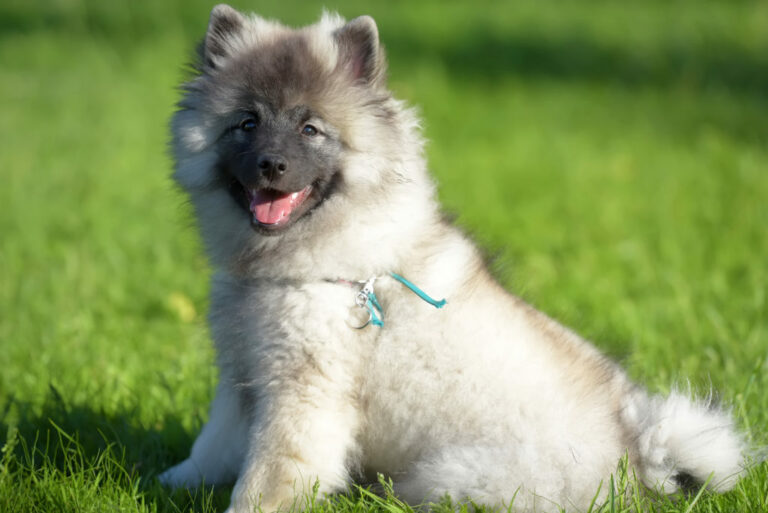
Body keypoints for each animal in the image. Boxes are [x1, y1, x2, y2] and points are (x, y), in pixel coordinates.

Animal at [159, 5, 746, 512]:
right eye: (247, 124)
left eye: (310, 129)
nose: (270, 165)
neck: (301, 267)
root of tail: (635, 459)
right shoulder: (243, 379)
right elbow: (213, 447)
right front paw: (173, 482)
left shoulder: (299, 396)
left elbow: (267, 475)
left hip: (447, 477)